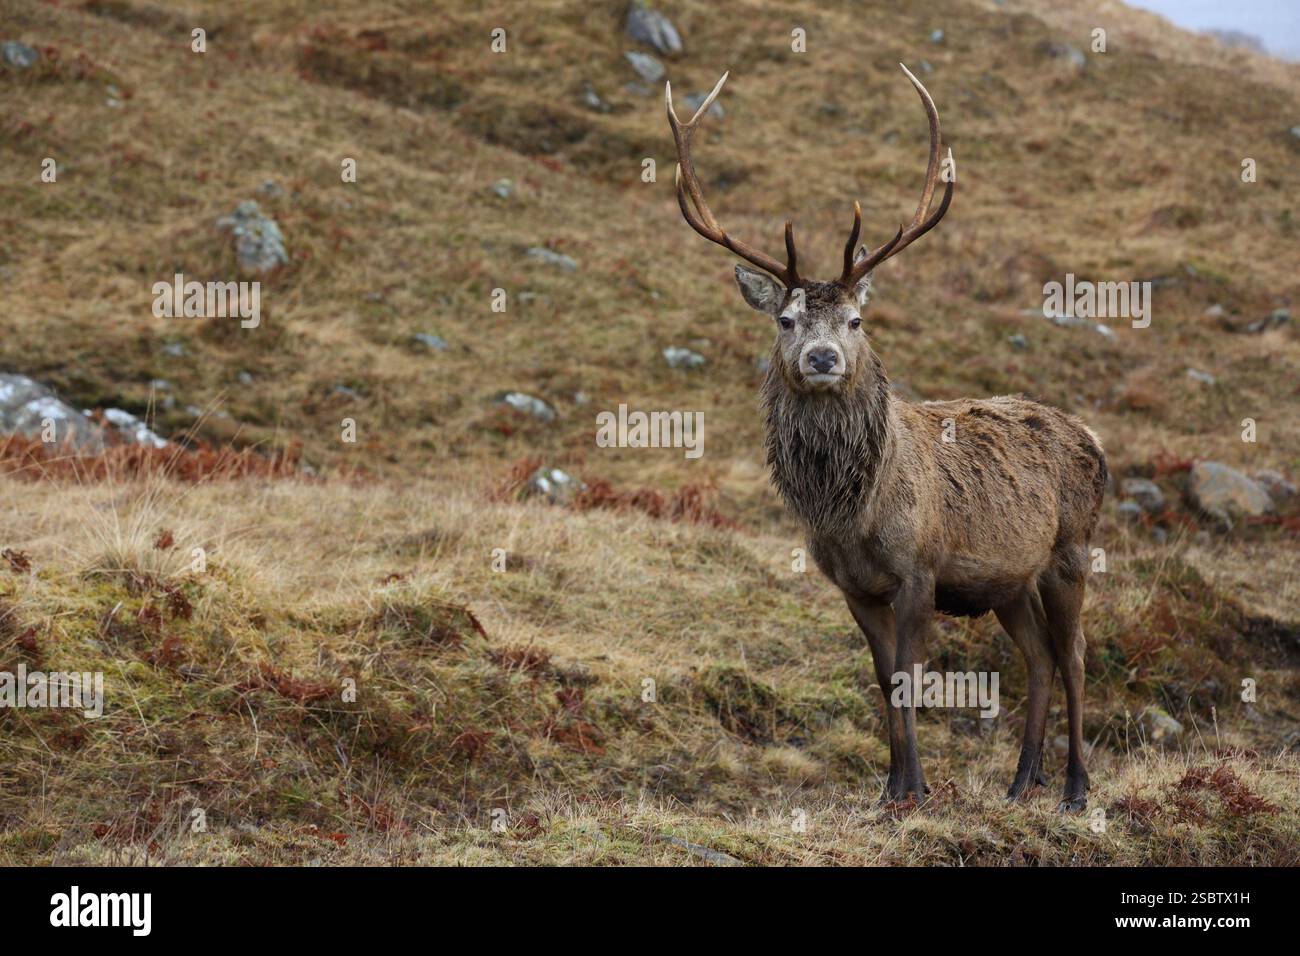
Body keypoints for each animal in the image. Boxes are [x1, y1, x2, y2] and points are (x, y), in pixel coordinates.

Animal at [666, 65, 1107, 811]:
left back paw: (1074, 787)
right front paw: (893, 788)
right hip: (1009, 581)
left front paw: (914, 790)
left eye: (856, 319)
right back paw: (1021, 783)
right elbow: (881, 679)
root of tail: (1095, 442)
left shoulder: (919, 570)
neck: (852, 515)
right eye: (785, 319)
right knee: (1040, 658)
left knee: (1074, 656)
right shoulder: (854, 587)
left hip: (1070, 549)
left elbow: (907, 679)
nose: (821, 358)